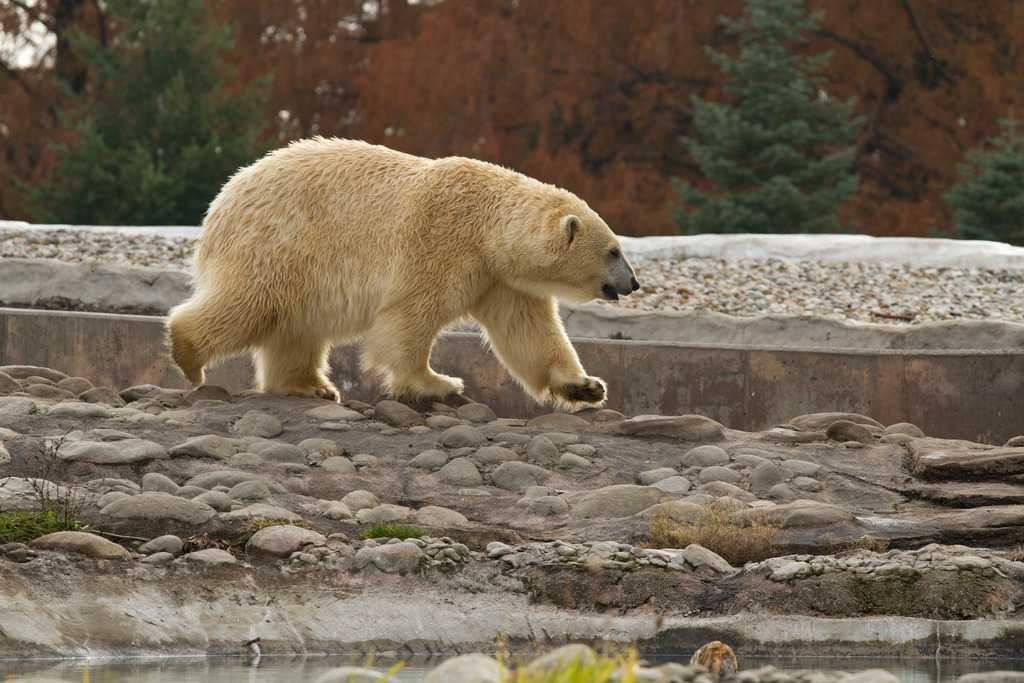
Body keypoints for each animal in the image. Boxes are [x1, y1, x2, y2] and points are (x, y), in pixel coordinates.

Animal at [167, 137, 640, 408]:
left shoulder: (499, 277)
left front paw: (586, 386)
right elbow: (410, 317)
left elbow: (527, 331)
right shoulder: (442, 243)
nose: (634, 282)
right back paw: (187, 355)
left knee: (295, 328)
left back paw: (310, 386)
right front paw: (439, 383)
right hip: (278, 245)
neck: (487, 224)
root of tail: (223, 201)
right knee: (251, 304)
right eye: (613, 251)